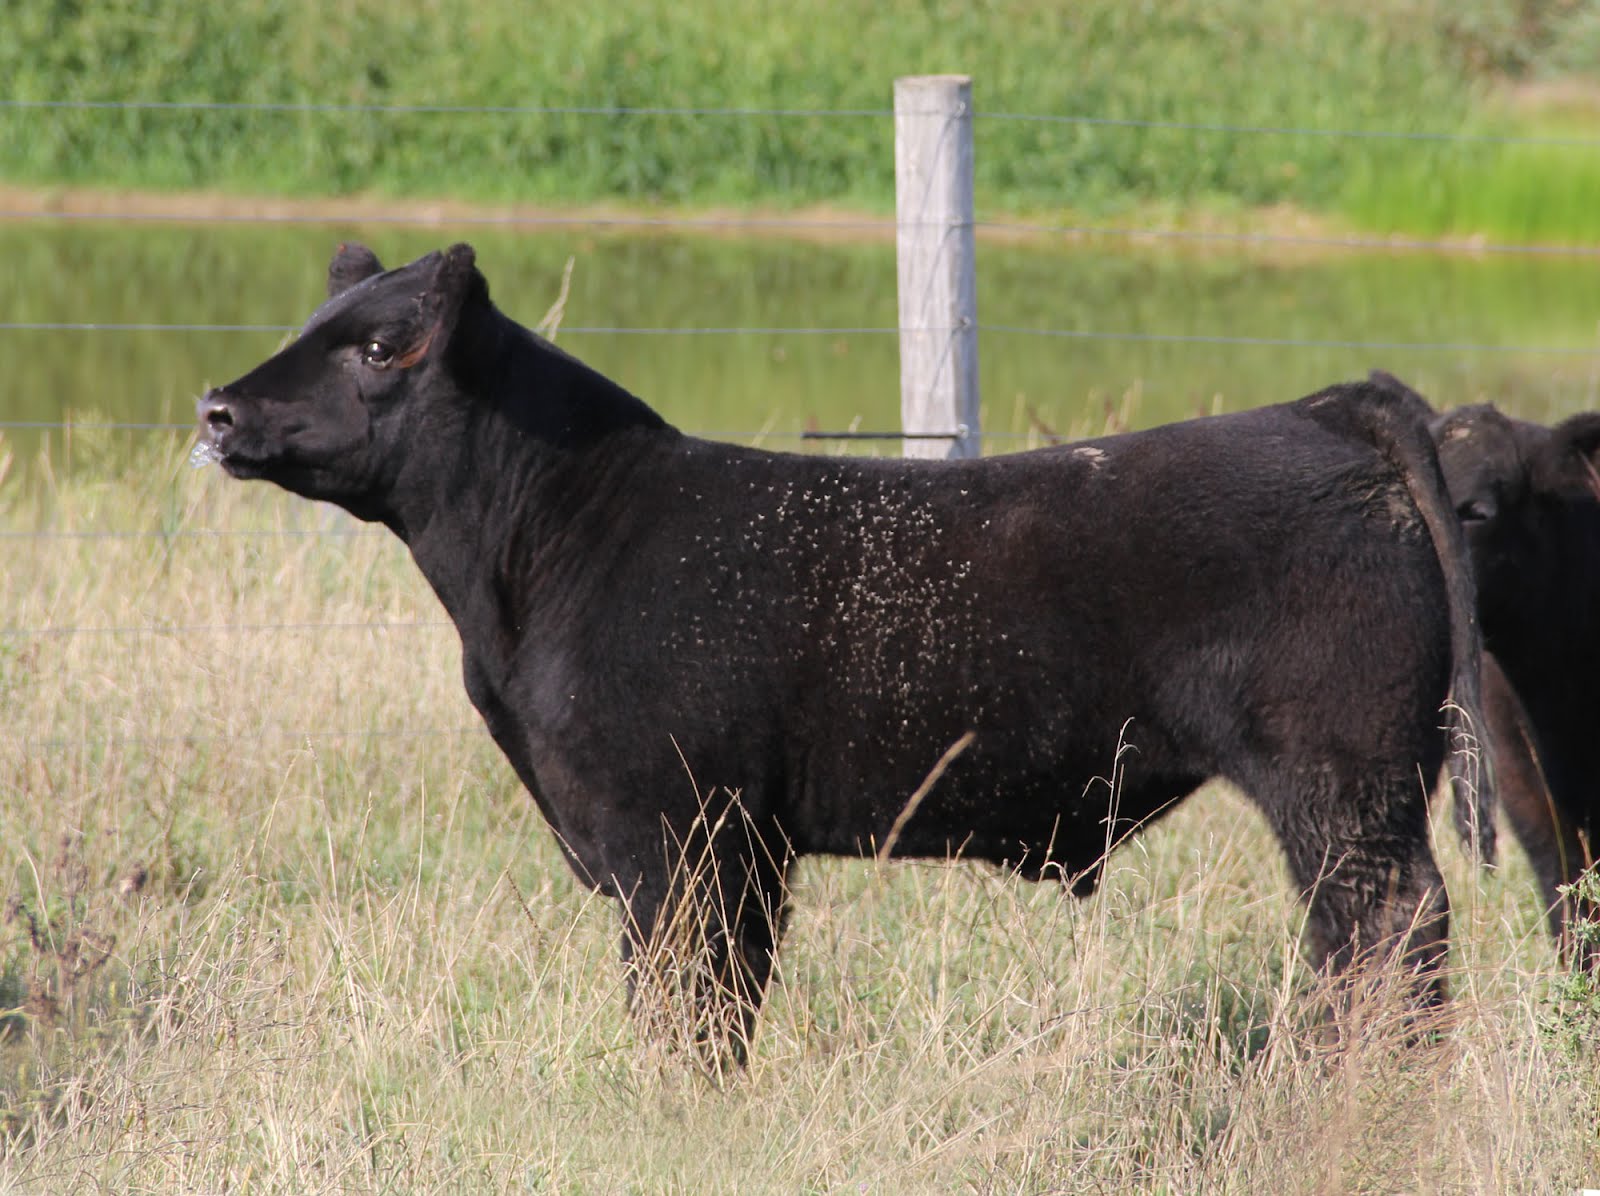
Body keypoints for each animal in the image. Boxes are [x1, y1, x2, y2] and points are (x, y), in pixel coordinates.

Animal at [195, 243, 1492, 1063]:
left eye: (381, 347)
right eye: (307, 327)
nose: (216, 408)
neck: (546, 549)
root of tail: (1326, 408)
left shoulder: (678, 836)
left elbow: (688, 1013)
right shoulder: (734, 846)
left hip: (1341, 783)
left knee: (1384, 934)